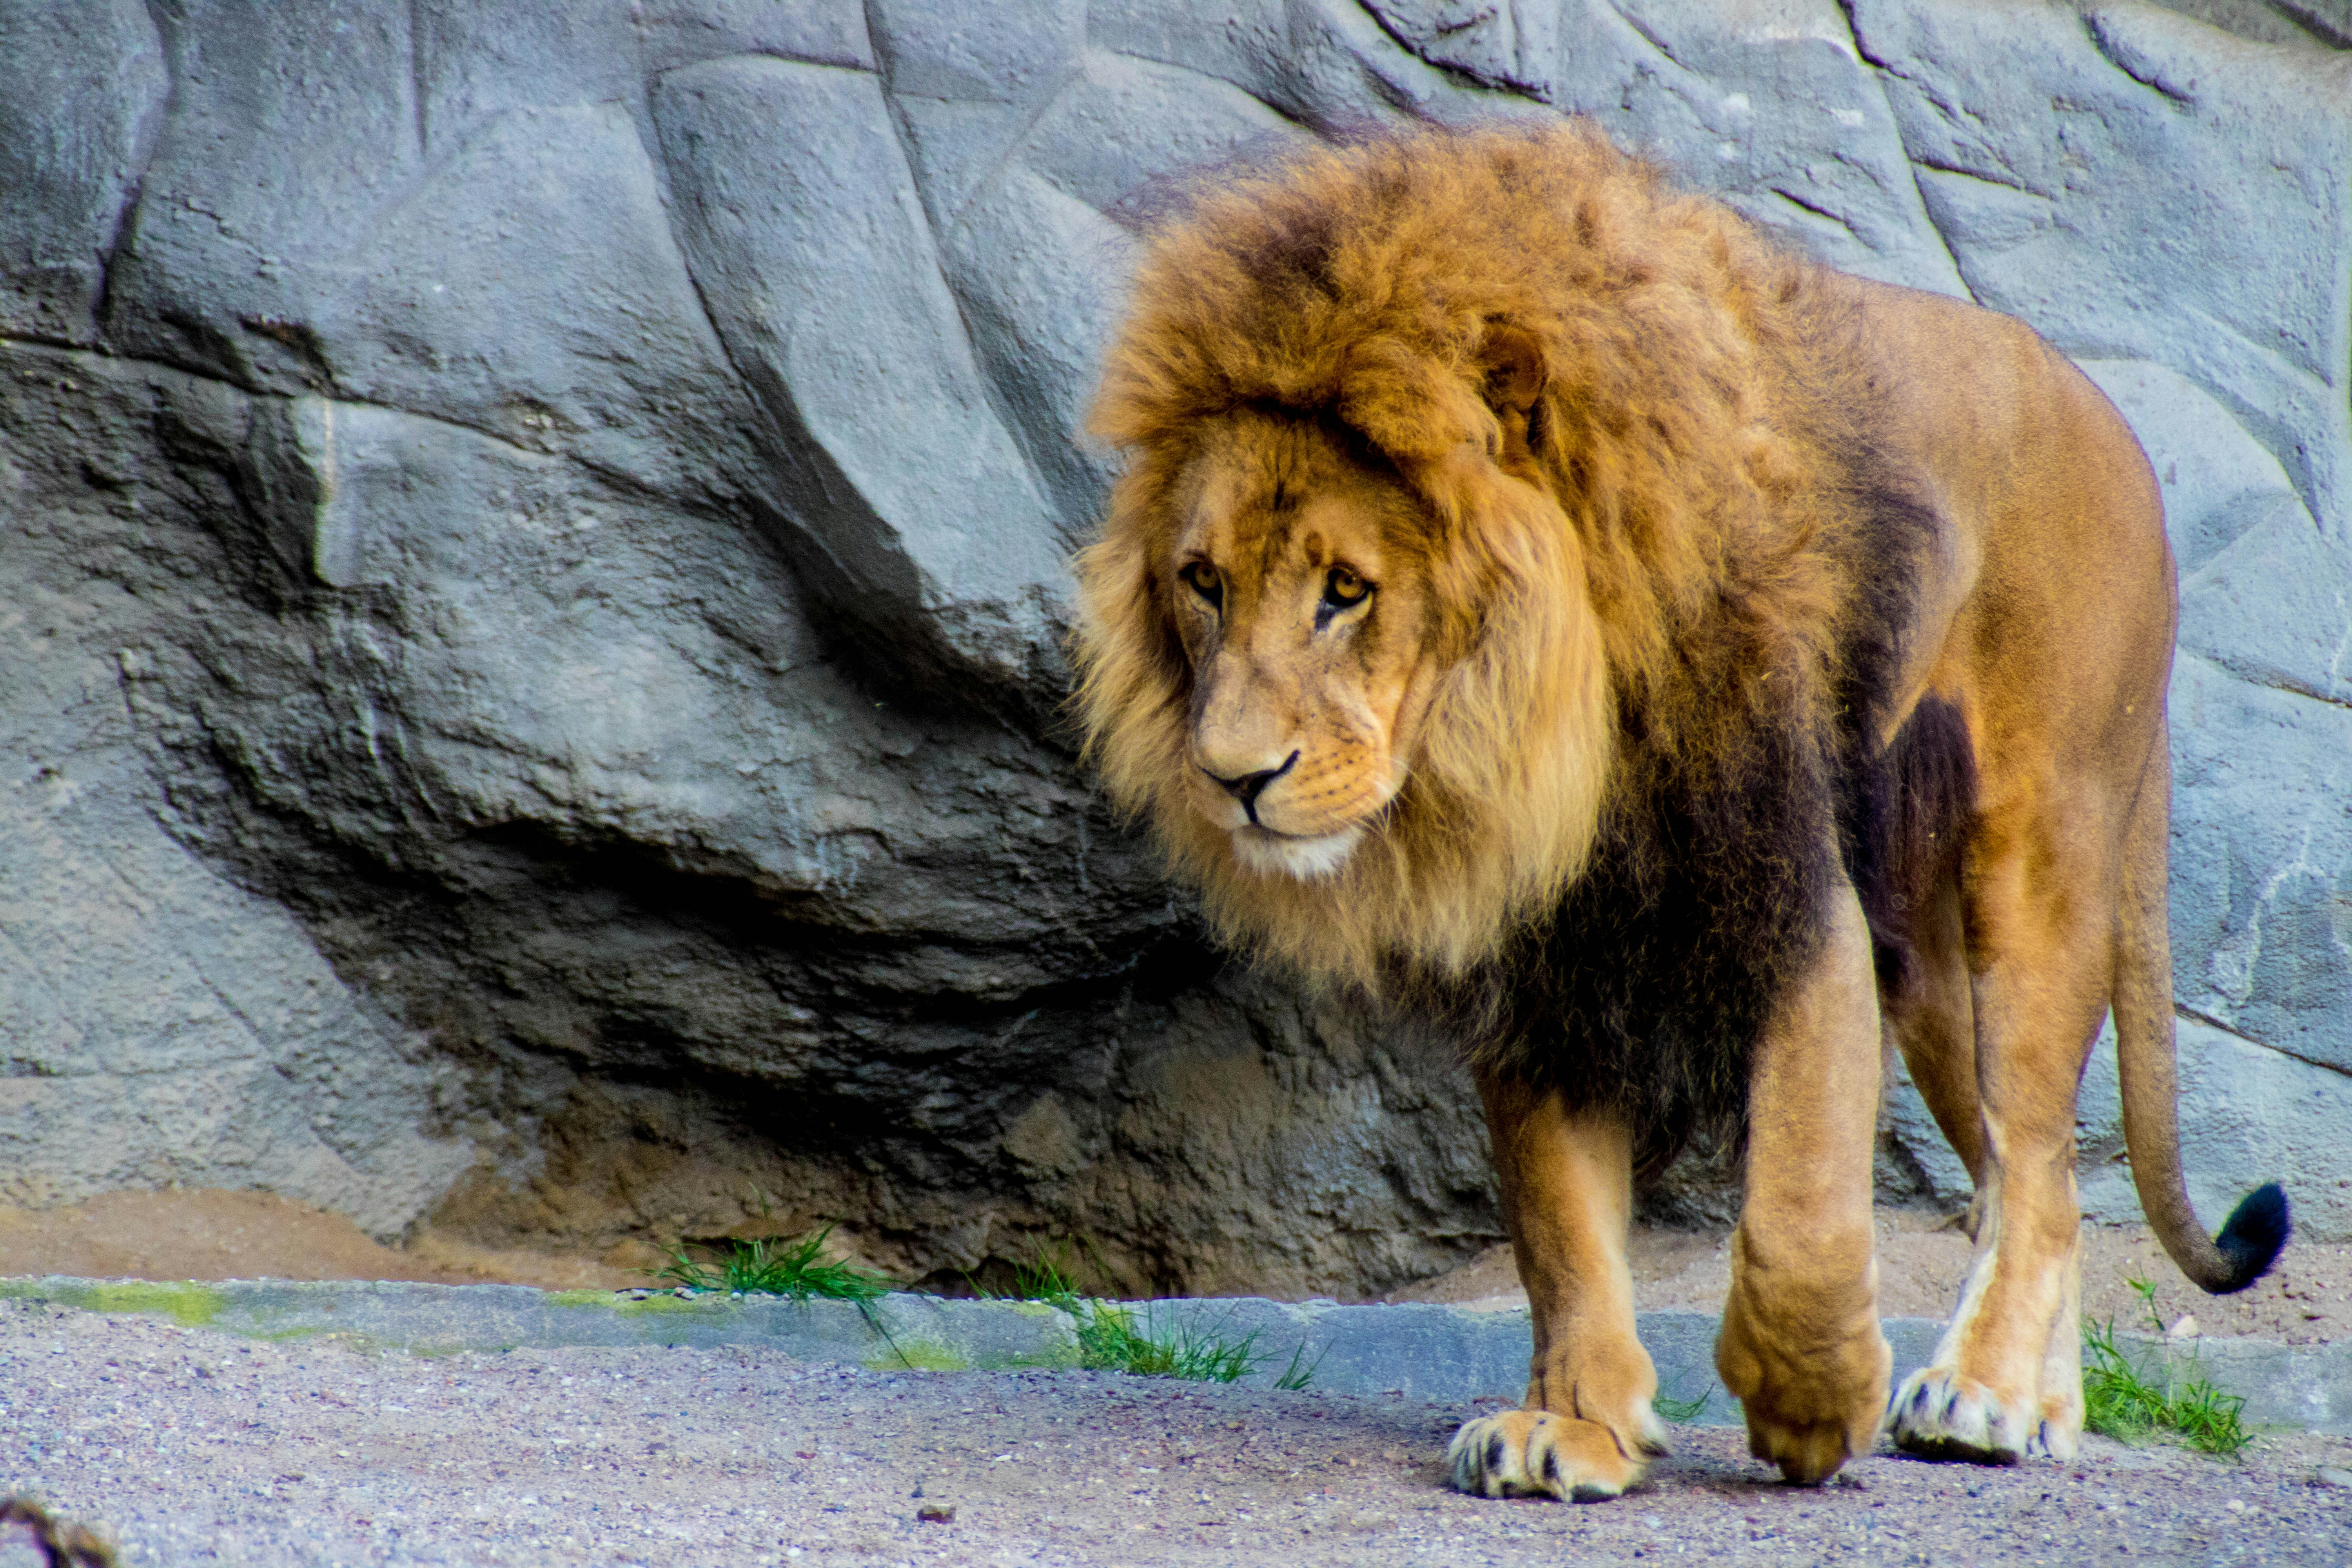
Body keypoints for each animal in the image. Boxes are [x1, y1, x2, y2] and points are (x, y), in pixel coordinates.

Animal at [1068, 122, 2290, 1497]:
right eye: (1202, 583)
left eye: (1345, 591)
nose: (1230, 776)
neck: (1554, 734)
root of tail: (2116, 428)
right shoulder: (1545, 958)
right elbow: (1558, 1224)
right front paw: (1574, 1426)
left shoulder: (1791, 890)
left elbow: (1800, 1197)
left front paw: (1810, 1401)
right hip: (1932, 972)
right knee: (2023, 1180)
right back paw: (2042, 1408)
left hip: (2035, 863)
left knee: (2032, 1163)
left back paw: (1976, 1396)